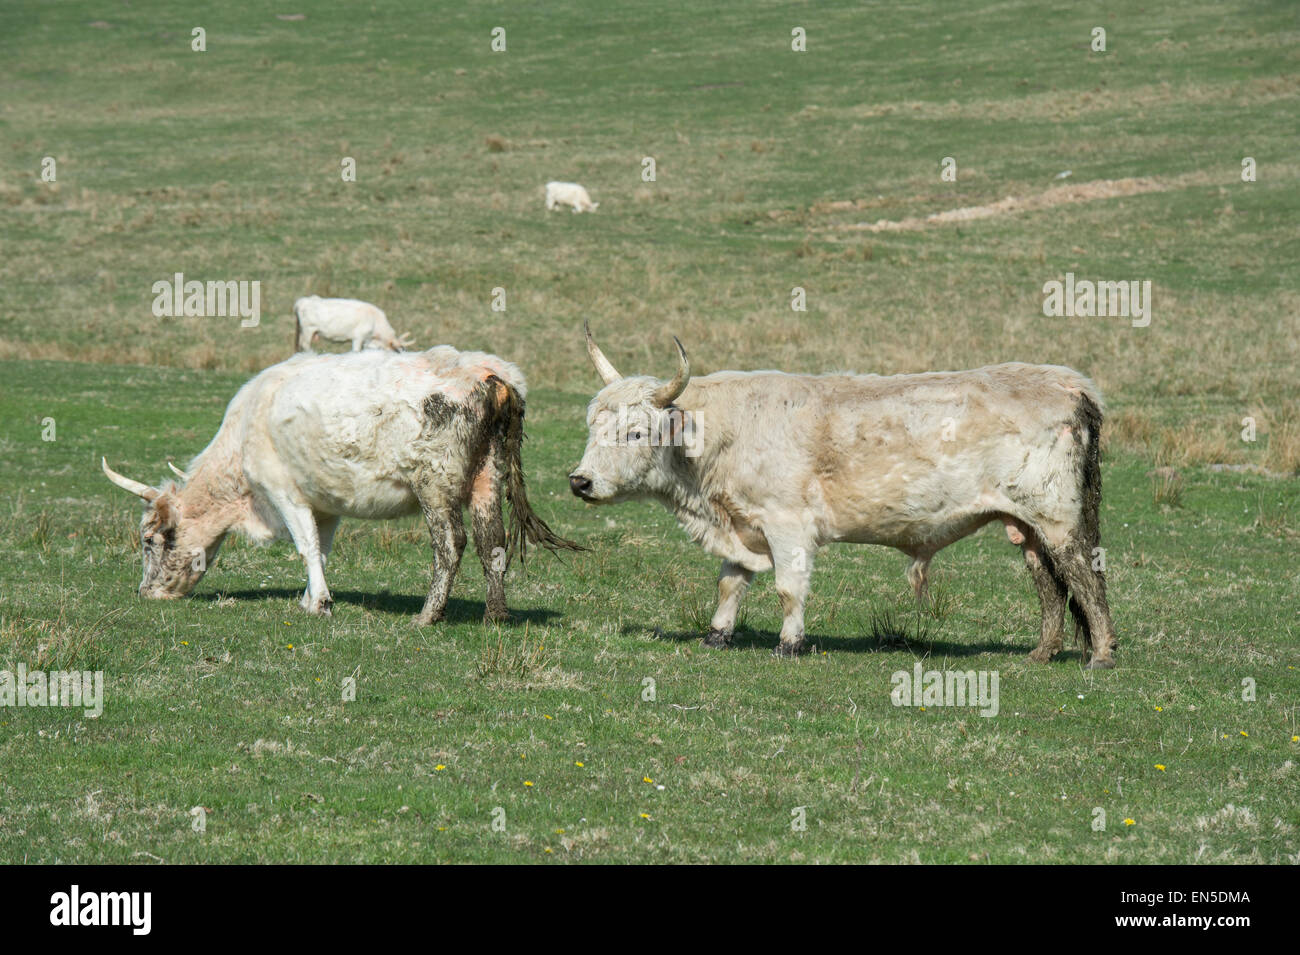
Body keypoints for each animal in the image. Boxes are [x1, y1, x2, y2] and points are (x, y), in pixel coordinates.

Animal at [102, 347, 580, 623]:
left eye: (148, 540)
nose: (145, 593)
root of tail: (486, 372)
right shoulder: (326, 503)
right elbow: (321, 548)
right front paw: (313, 596)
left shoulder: (284, 491)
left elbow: (305, 546)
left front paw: (318, 603)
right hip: (487, 478)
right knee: (491, 541)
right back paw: (496, 614)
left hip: (435, 481)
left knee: (452, 544)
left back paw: (427, 616)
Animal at [568, 324, 1117, 668]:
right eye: (593, 426)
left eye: (637, 432)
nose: (580, 481)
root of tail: (1071, 384)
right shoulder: (741, 525)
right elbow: (730, 584)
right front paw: (716, 636)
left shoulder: (787, 525)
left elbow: (788, 588)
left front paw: (789, 644)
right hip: (1025, 525)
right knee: (1049, 585)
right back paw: (1041, 653)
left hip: (1060, 519)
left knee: (1084, 579)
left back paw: (1102, 655)